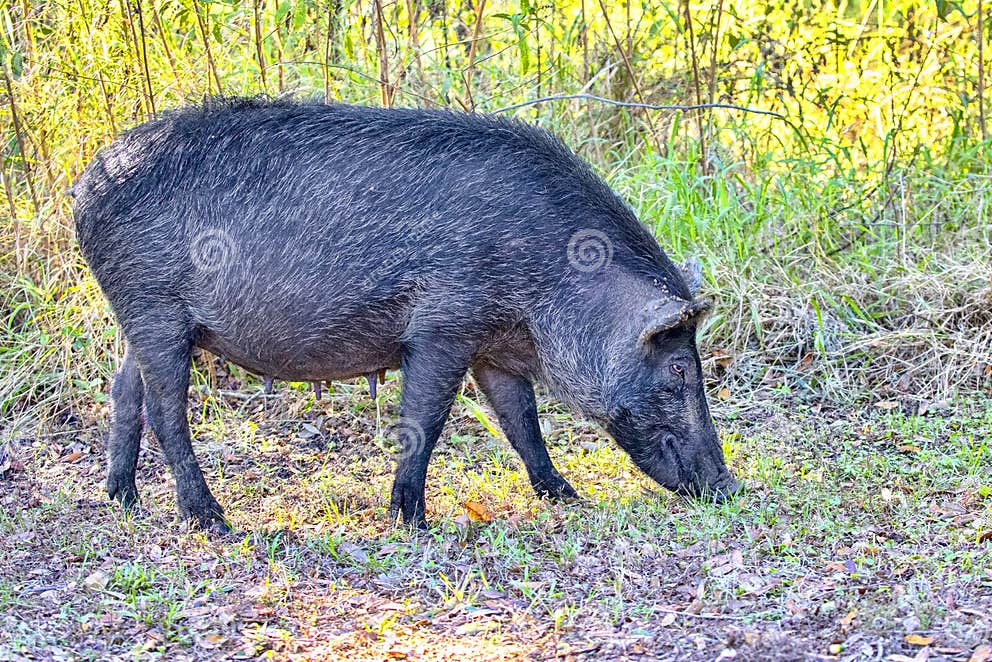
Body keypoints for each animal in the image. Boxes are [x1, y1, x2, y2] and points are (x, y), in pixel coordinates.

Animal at [72, 99, 741, 531]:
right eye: (680, 368)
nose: (729, 488)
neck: (549, 274)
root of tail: (84, 184)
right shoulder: (443, 326)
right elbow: (426, 419)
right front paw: (412, 521)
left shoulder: (494, 349)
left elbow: (522, 422)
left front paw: (569, 499)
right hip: (156, 310)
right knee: (166, 412)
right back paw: (211, 521)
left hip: (139, 320)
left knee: (123, 392)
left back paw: (123, 501)